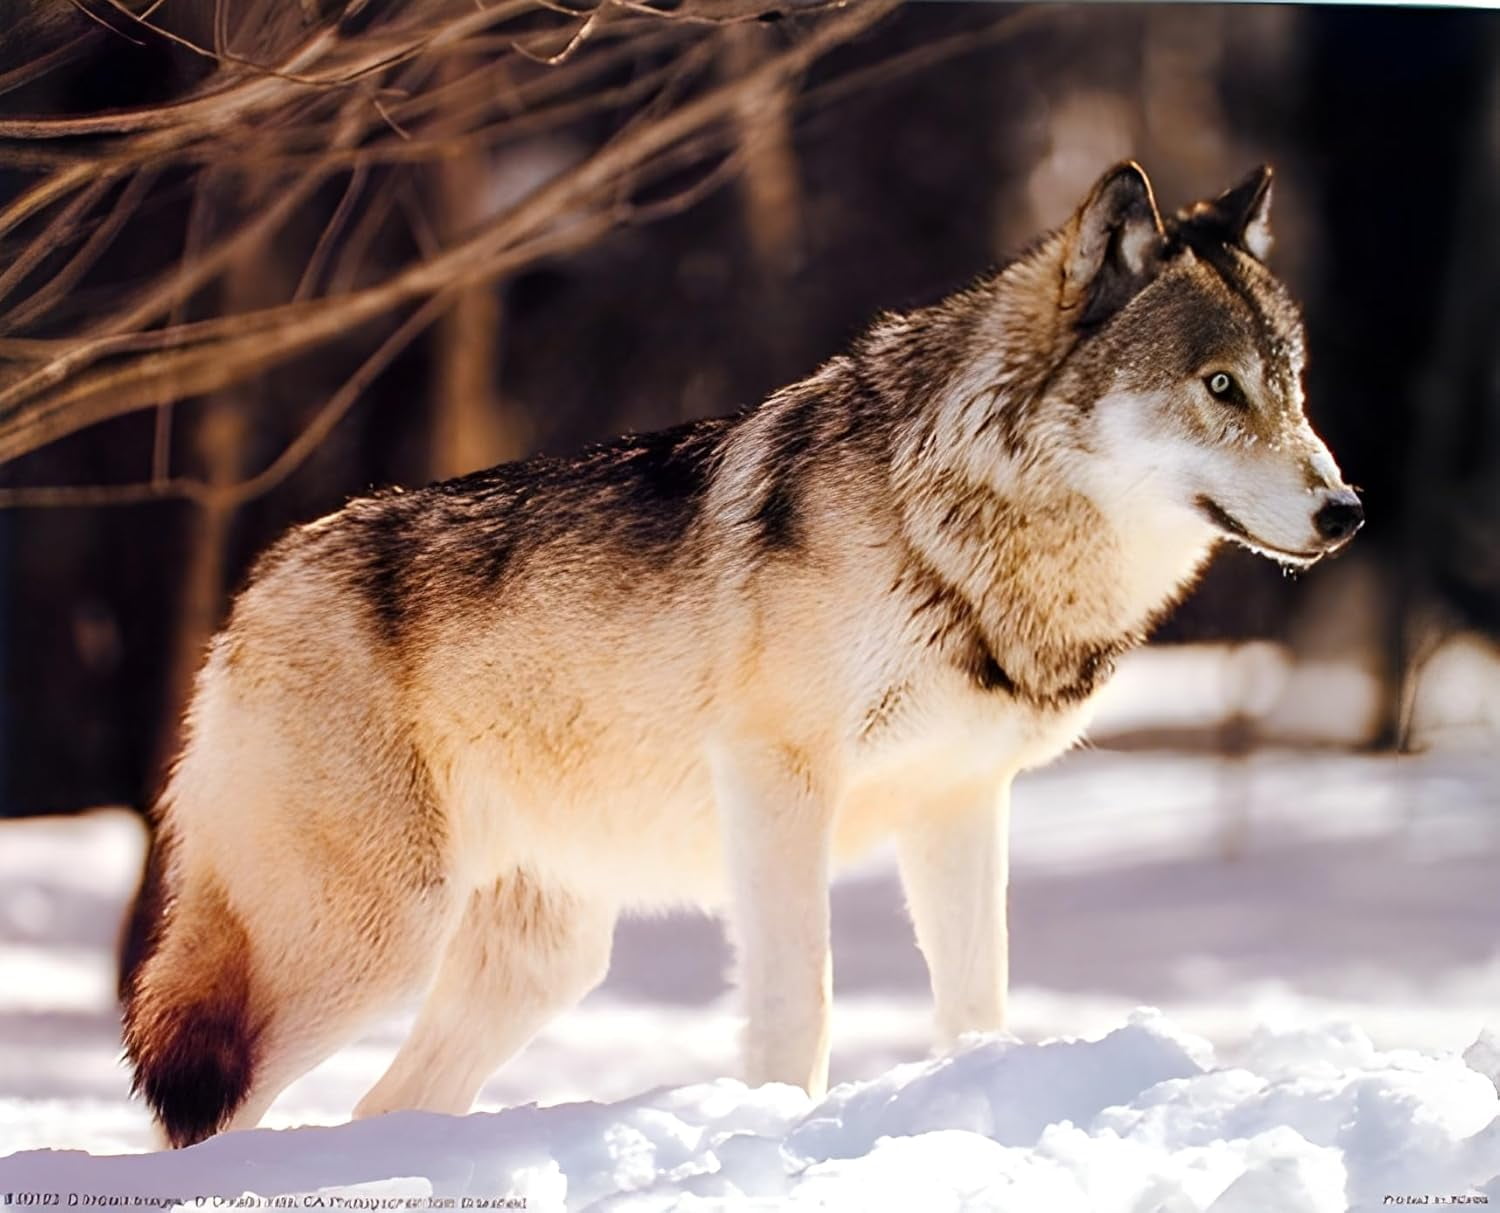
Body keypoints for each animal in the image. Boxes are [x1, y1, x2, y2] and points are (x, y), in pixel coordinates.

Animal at [123, 161, 1362, 1147]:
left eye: (1297, 389)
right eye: (1219, 387)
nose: (1346, 509)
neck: (949, 529)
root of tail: (255, 588)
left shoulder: (960, 804)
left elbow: (978, 1005)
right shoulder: (778, 786)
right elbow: (798, 1001)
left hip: (541, 961)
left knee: (380, 1109)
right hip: (368, 940)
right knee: (211, 1112)